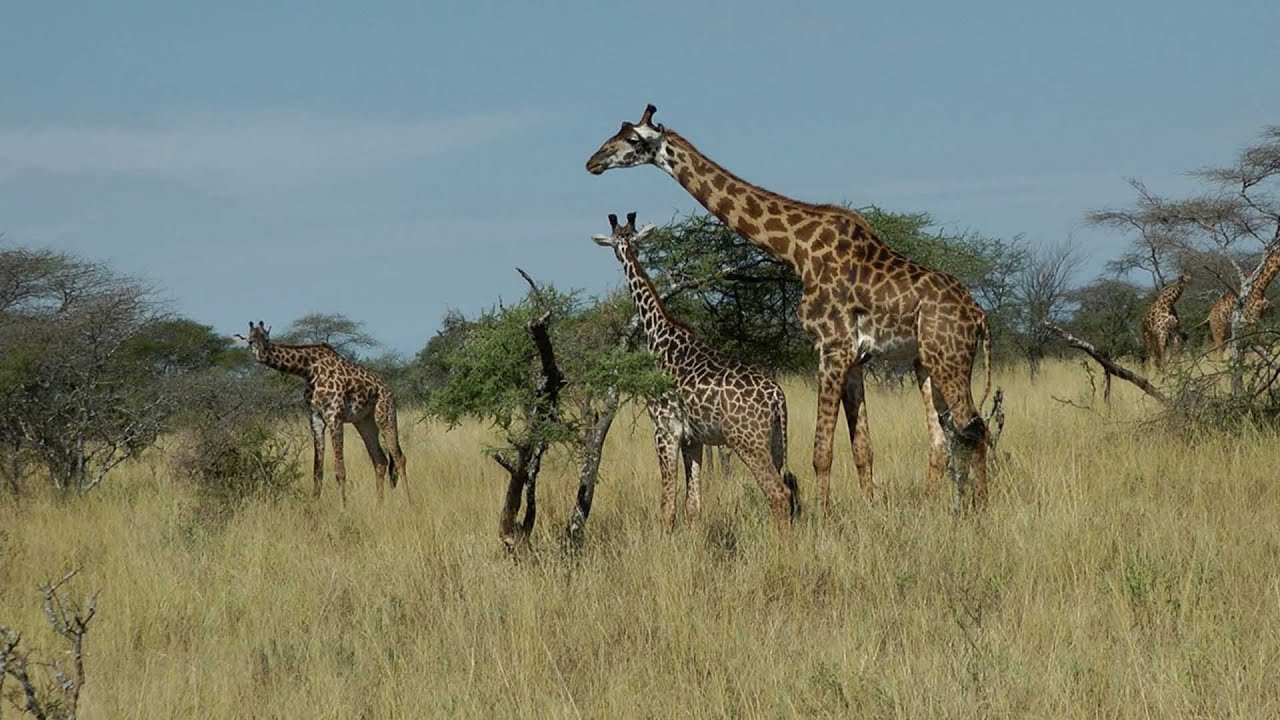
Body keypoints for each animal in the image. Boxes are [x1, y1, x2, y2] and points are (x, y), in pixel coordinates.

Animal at [235, 321, 407, 505]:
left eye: (267, 339)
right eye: (250, 341)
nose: (261, 354)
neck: (308, 370)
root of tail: (387, 388)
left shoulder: (334, 416)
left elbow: (340, 470)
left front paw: (343, 507)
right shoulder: (316, 418)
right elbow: (317, 471)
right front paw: (314, 504)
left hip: (384, 414)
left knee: (399, 458)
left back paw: (409, 502)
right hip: (364, 421)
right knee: (380, 461)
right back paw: (379, 504)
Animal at [593, 213, 799, 530]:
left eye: (620, 242)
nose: (621, 252)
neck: (659, 335)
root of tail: (776, 395)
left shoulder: (665, 430)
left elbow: (667, 506)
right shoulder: (693, 438)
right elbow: (693, 506)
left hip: (747, 441)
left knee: (777, 492)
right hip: (776, 439)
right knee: (787, 488)